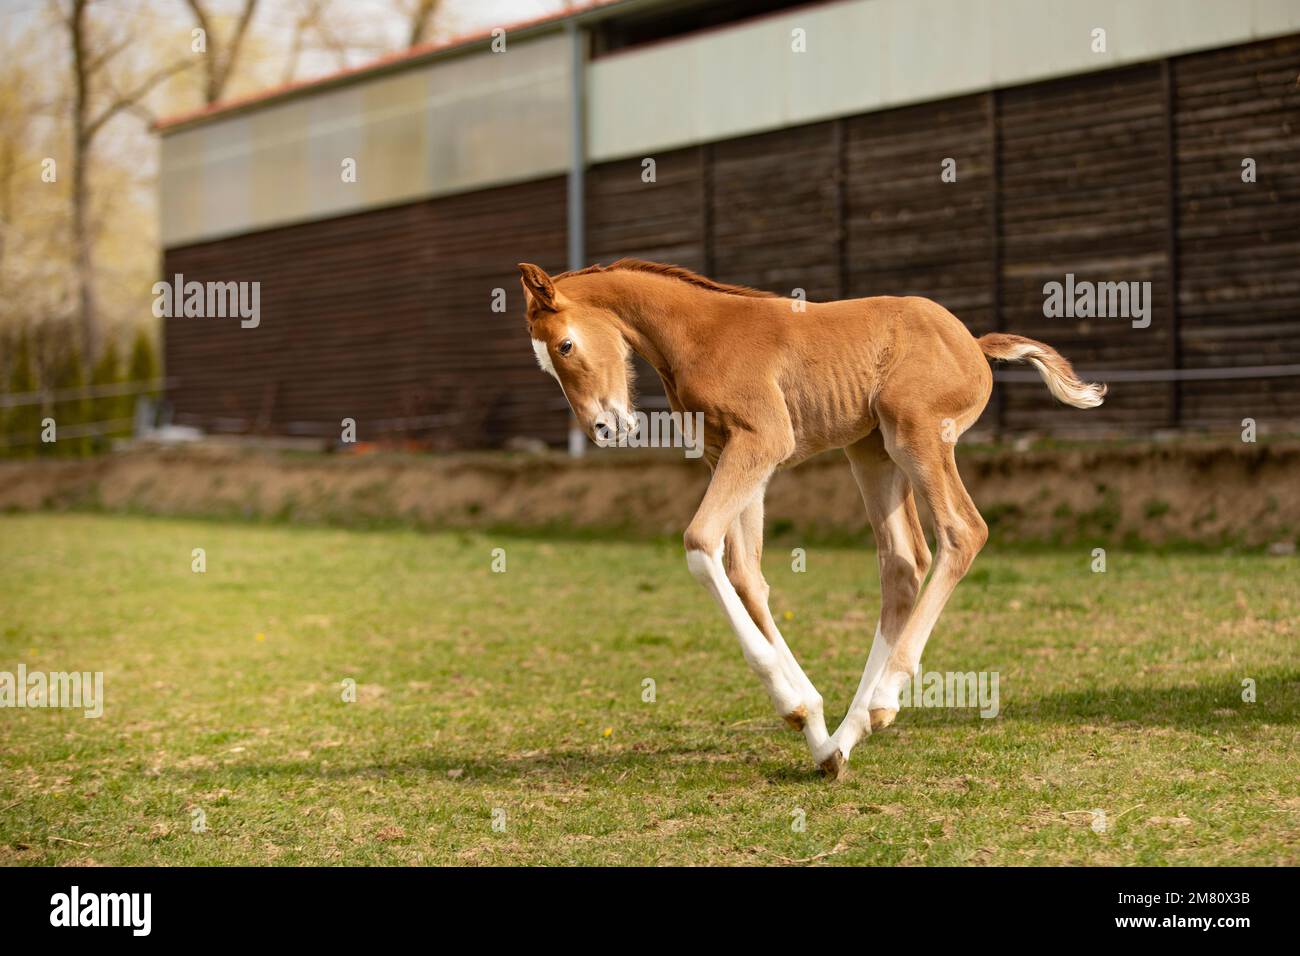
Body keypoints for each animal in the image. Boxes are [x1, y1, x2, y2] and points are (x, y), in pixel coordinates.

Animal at [518, 258, 1105, 779]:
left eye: (565, 345)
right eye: (544, 362)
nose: (603, 429)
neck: (699, 333)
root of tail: (974, 345)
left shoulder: (763, 441)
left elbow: (700, 542)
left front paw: (798, 709)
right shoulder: (725, 454)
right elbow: (745, 575)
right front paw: (810, 722)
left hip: (916, 435)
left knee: (962, 534)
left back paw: (881, 703)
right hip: (872, 453)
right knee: (903, 563)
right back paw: (846, 737)